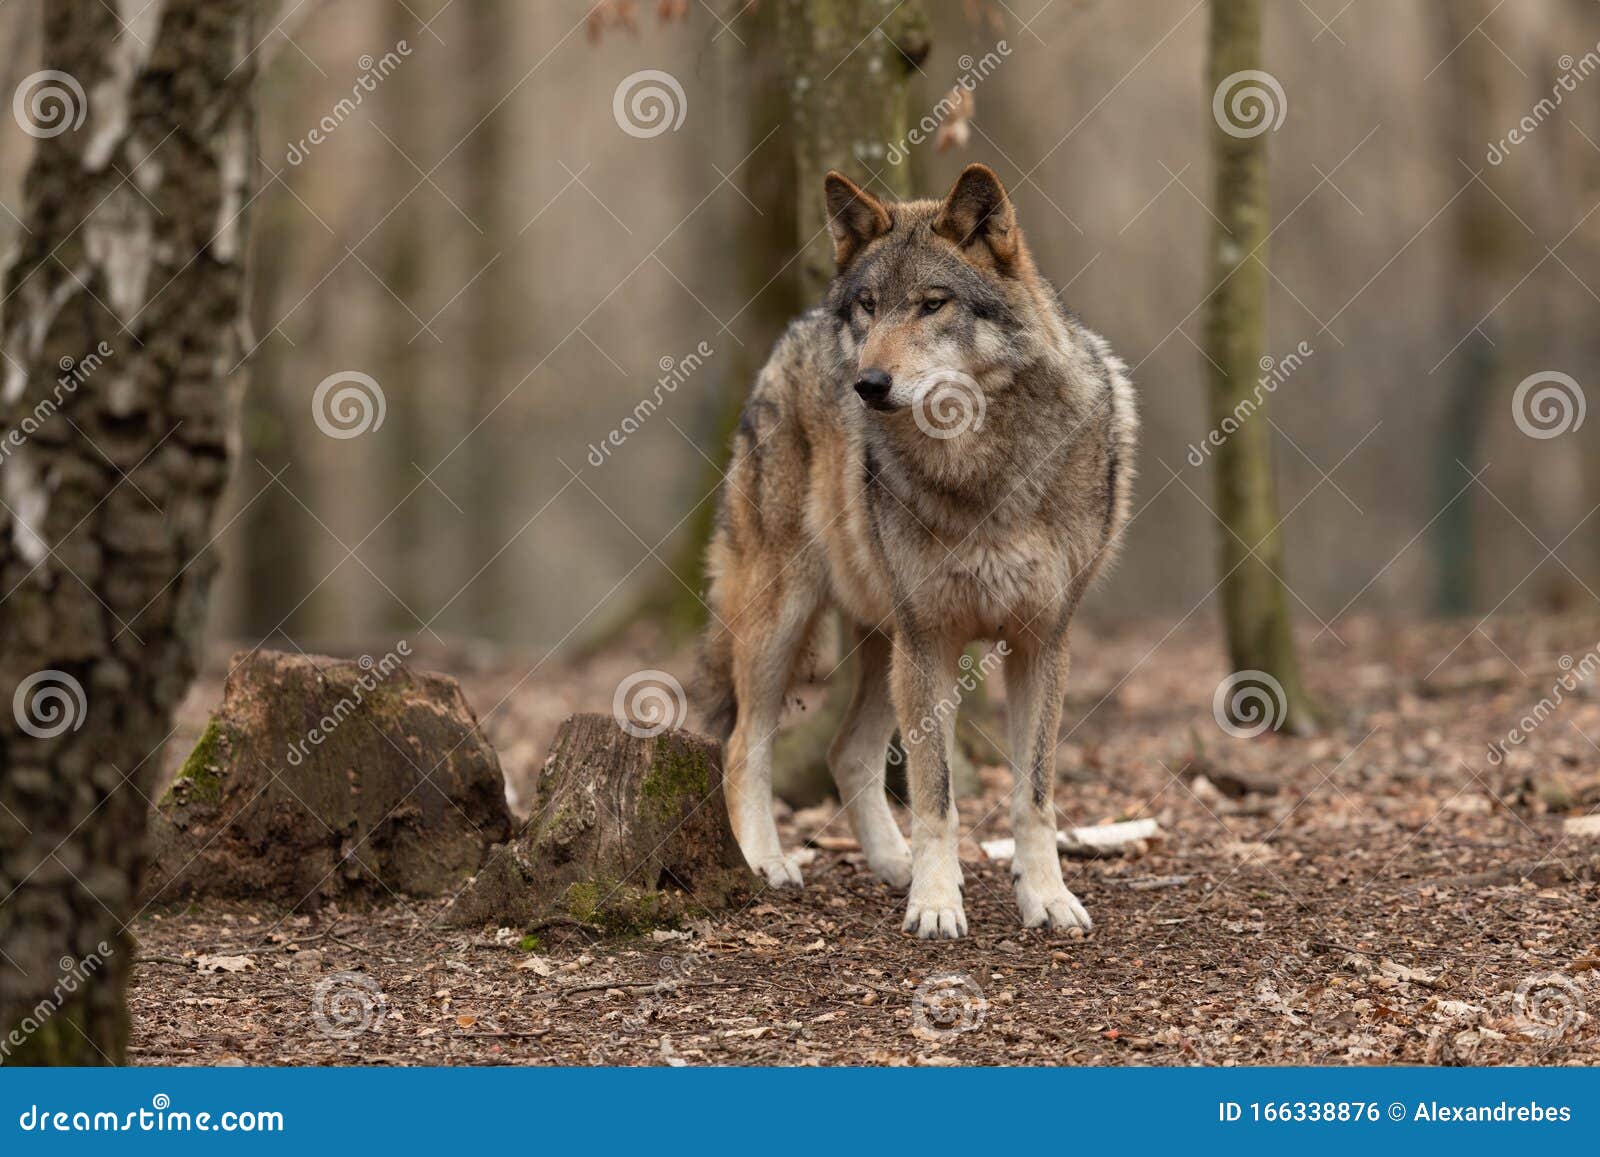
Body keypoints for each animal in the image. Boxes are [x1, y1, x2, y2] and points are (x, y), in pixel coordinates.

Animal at [694, 164, 1137, 939]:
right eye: (870, 307)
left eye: (933, 304)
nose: (868, 385)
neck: (982, 468)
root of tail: (797, 328)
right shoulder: (931, 639)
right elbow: (936, 795)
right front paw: (935, 904)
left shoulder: (1041, 640)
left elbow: (1034, 795)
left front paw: (1045, 897)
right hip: (790, 622)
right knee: (744, 745)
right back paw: (766, 863)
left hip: (883, 640)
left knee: (845, 751)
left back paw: (890, 864)